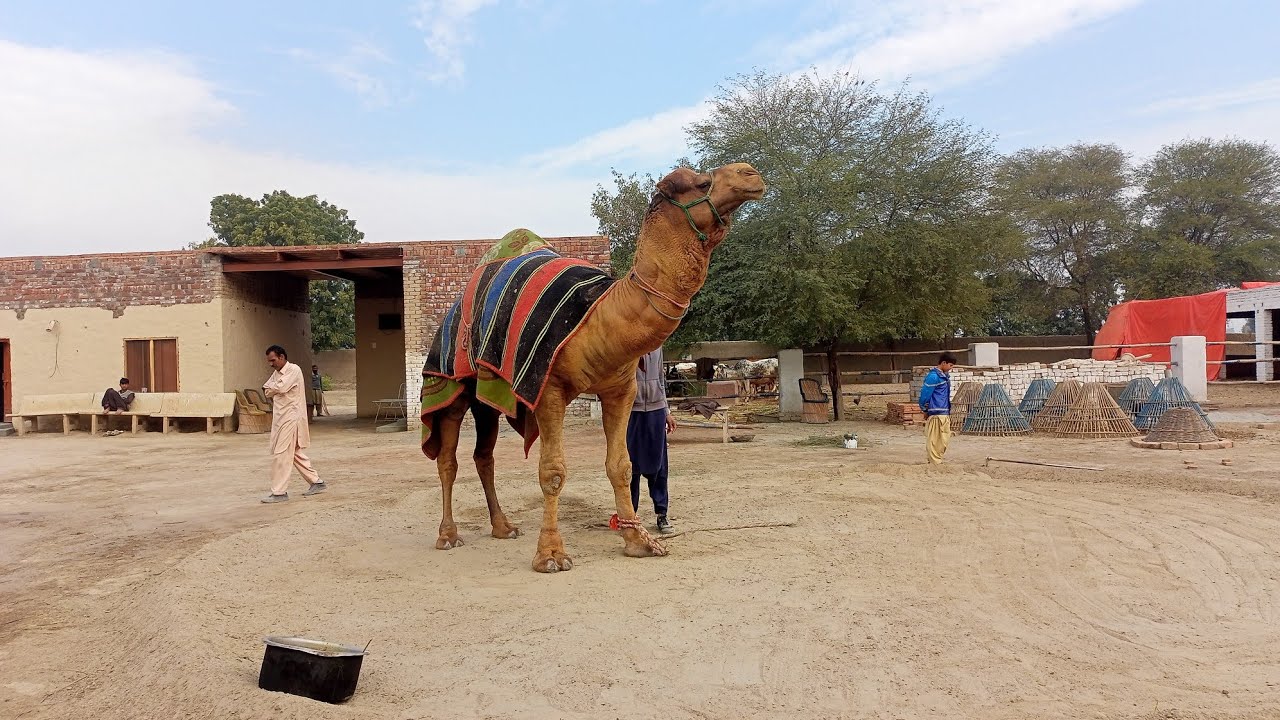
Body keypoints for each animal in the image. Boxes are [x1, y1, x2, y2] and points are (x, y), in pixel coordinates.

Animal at [420, 162, 765, 572]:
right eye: (699, 182)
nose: (751, 173)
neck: (601, 315)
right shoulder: (548, 387)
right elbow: (553, 471)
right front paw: (551, 556)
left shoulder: (620, 389)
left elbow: (621, 465)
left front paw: (639, 541)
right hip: (450, 381)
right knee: (447, 458)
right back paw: (447, 535)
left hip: (488, 397)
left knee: (483, 455)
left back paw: (504, 527)